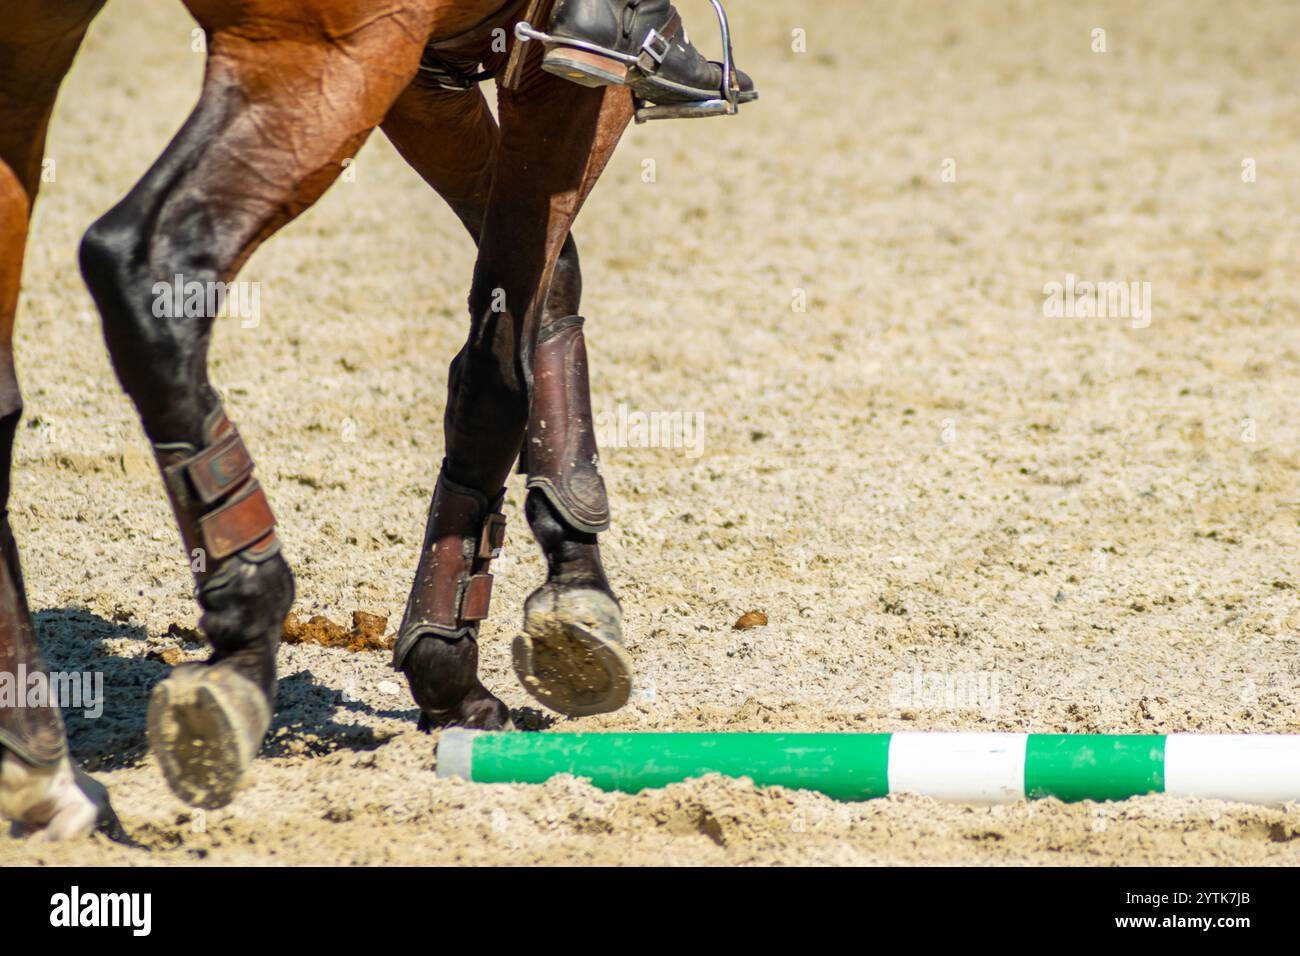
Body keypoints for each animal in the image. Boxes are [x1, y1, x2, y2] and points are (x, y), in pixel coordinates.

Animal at [1, 0, 648, 833]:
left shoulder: (427, 83)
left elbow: (539, 297)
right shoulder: (556, 84)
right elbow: (501, 358)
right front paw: (541, 607)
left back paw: (42, 769)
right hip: (315, 62)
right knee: (150, 266)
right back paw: (242, 647)